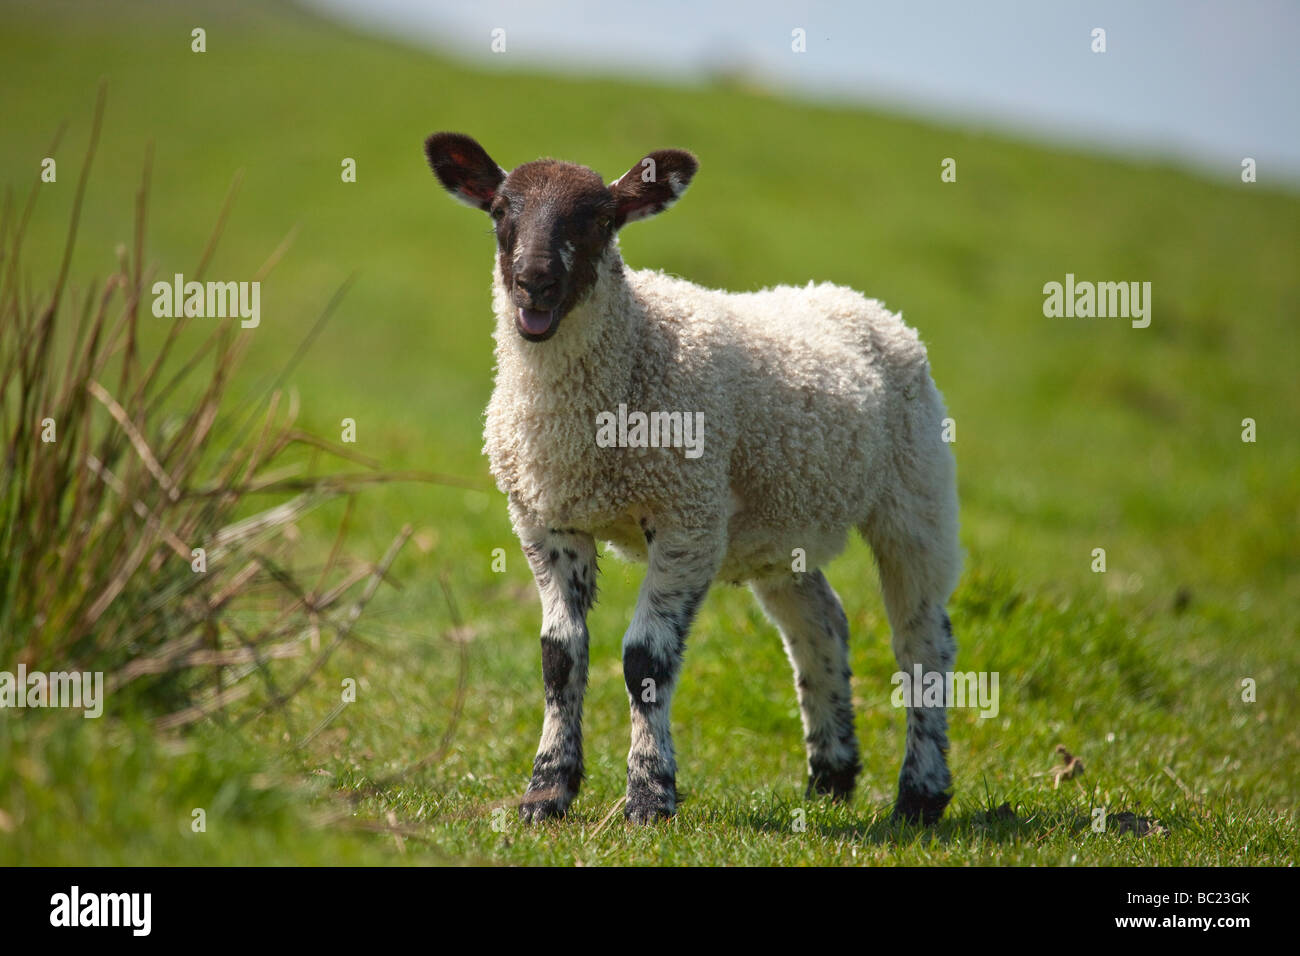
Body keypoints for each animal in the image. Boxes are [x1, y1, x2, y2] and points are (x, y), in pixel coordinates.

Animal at [423, 132, 962, 825]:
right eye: (499, 212)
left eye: (601, 220)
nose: (534, 283)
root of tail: (862, 302)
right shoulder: (546, 519)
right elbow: (559, 655)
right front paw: (547, 790)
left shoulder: (687, 518)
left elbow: (644, 659)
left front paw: (649, 796)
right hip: (780, 522)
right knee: (819, 622)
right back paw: (831, 774)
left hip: (917, 493)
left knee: (923, 641)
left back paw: (920, 793)